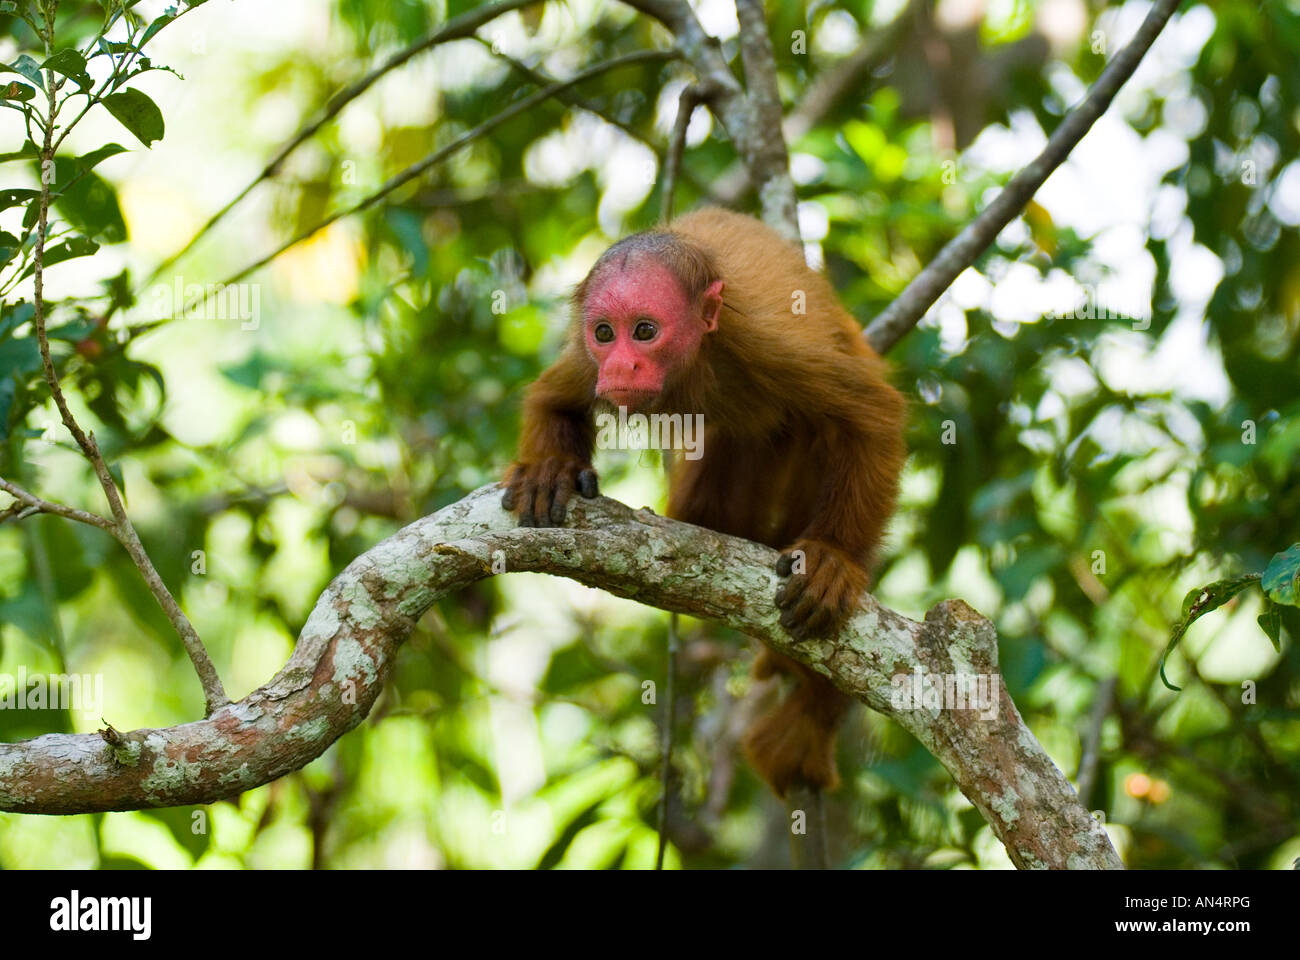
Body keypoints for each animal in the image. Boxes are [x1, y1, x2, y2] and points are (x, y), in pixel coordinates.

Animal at [500, 207, 907, 797]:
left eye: (645, 331)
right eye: (605, 333)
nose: (619, 367)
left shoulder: (771, 344)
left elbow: (872, 416)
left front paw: (833, 558)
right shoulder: (583, 360)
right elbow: (552, 399)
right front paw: (551, 469)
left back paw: (813, 710)